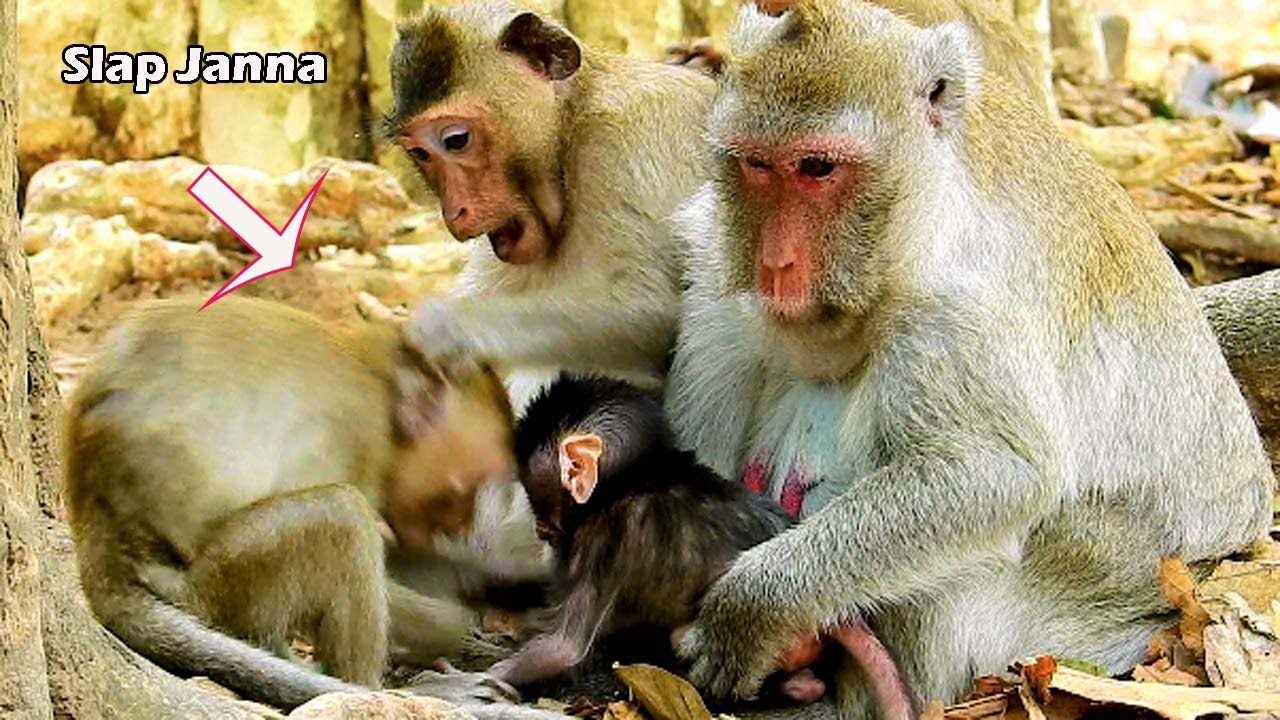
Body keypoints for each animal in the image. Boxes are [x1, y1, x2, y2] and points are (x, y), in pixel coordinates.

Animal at [63, 295, 527, 711]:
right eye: (459, 494)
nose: (458, 527)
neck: (382, 382)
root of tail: (103, 535)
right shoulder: (357, 437)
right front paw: (449, 626)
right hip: (214, 586)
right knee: (342, 515)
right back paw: (381, 689)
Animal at [661, 1, 1276, 718]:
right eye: (759, 165)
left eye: (817, 167)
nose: (776, 262)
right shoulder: (717, 268)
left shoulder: (956, 303)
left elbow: (996, 475)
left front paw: (751, 608)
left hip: (1095, 593)